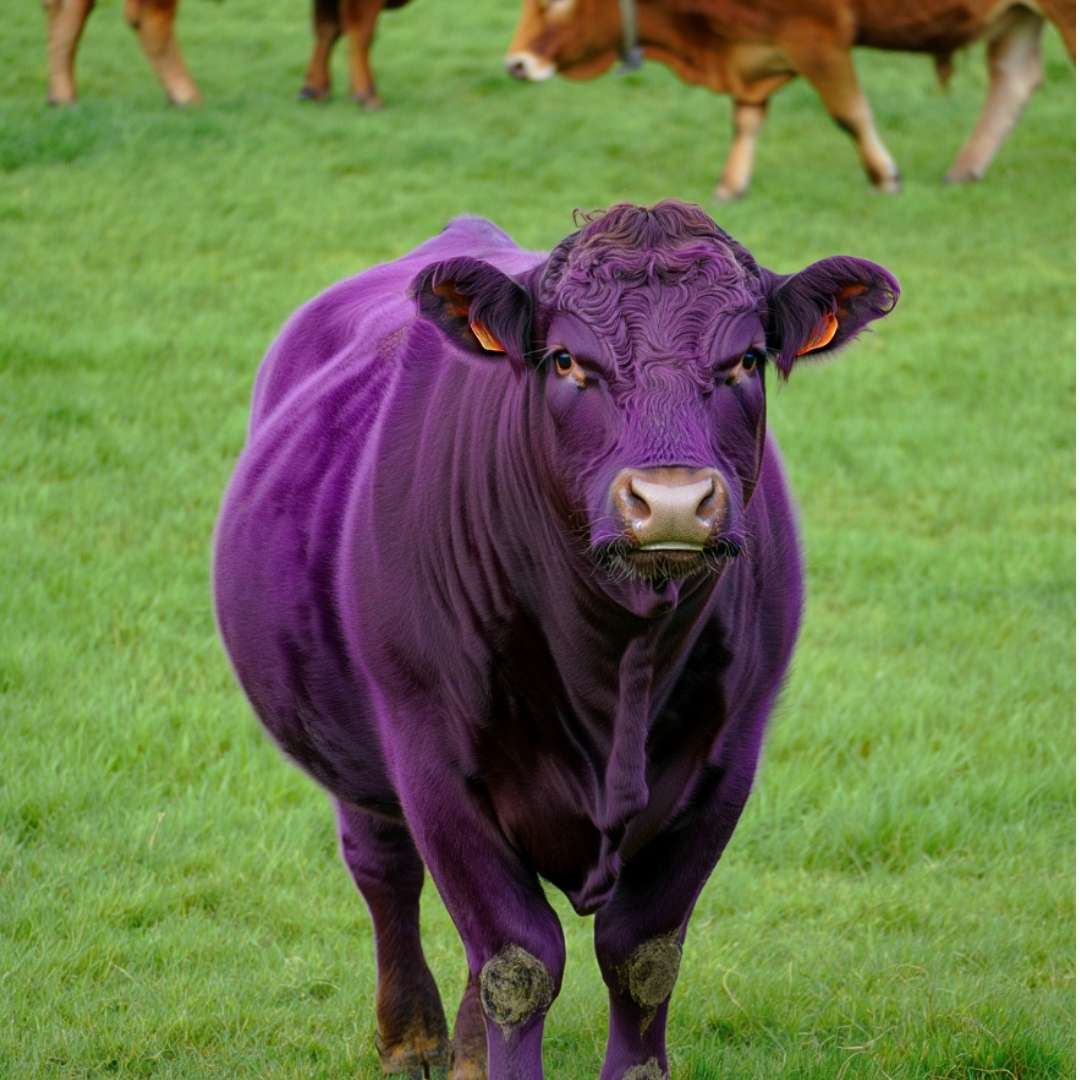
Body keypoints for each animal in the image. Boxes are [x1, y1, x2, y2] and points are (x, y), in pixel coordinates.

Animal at [42, 0, 409, 107]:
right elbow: (360, 32)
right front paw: (367, 94)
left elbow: (328, 29)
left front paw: (314, 88)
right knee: (150, 19)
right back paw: (186, 95)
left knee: (66, 11)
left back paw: (62, 94)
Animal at [213, 200, 899, 1079]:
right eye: (570, 360)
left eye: (745, 359)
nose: (670, 504)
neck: (617, 665)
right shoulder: (432, 761)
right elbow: (519, 961)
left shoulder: (728, 761)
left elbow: (641, 956)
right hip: (352, 751)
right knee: (386, 870)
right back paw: (415, 1040)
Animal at [505, 0, 1076, 199]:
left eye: (553, 2)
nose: (515, 64)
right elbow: (746, 120)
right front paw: (730, 185)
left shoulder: (817, 36)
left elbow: (849, 112)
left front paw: (884, 176)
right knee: (1013, 78)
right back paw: (965, 168)